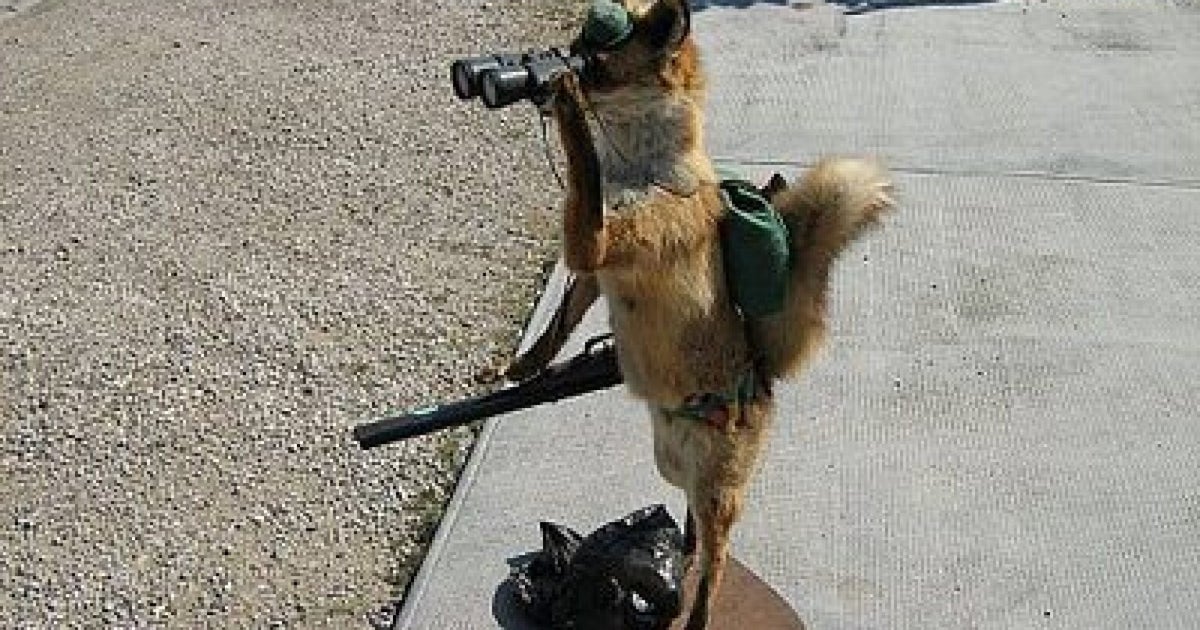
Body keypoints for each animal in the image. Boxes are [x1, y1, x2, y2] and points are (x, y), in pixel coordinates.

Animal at [506, 0, 894, 627]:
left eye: (595, 60)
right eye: (576, 43)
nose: (546, 71)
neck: (639, 172)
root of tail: (766, 379)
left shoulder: (594, 243)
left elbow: (582, 169)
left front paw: (566, 101)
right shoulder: (593, 271)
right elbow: (556, 328)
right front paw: (522, 369)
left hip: (719, 498)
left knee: (715, 570)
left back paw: (692, 612)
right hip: (672, 469)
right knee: (690, 529)